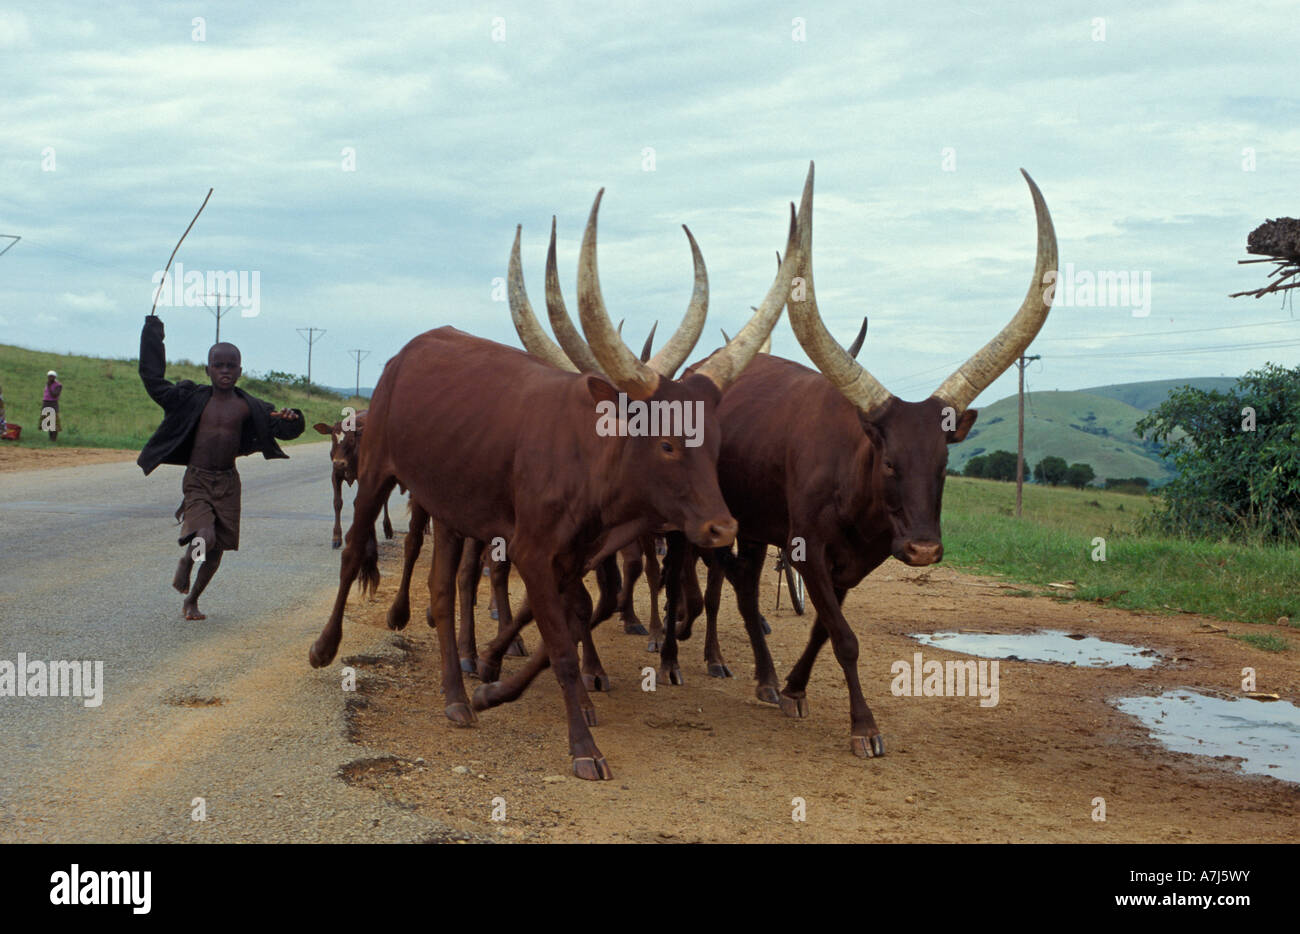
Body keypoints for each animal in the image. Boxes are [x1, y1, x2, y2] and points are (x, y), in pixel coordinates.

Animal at [309, 168, 811, 778]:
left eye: (714, 443)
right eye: (667, 443)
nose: (723, 528)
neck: (590, 463)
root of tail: (410, 350)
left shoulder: (575, 556)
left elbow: (570, 628)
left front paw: (493, 687)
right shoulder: (533, 550)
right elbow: (563, 643)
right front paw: (583, 746)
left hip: (450, 507)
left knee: (443, 588)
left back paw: (456, 695)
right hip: (378, 473)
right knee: (355, 552)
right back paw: (326, 647)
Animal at [667, 170, 1057, 760]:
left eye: (945, 462)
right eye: (890, 462)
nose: (923, 551)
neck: (851, 479)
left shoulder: (857, 561)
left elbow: (825, 629)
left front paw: (794, 688)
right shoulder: (807, 549)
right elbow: (845, 637)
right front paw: (863, 726)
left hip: (753, 527)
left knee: (745, 588)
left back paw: (764, 677)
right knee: (710, 582)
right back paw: (686, 649)